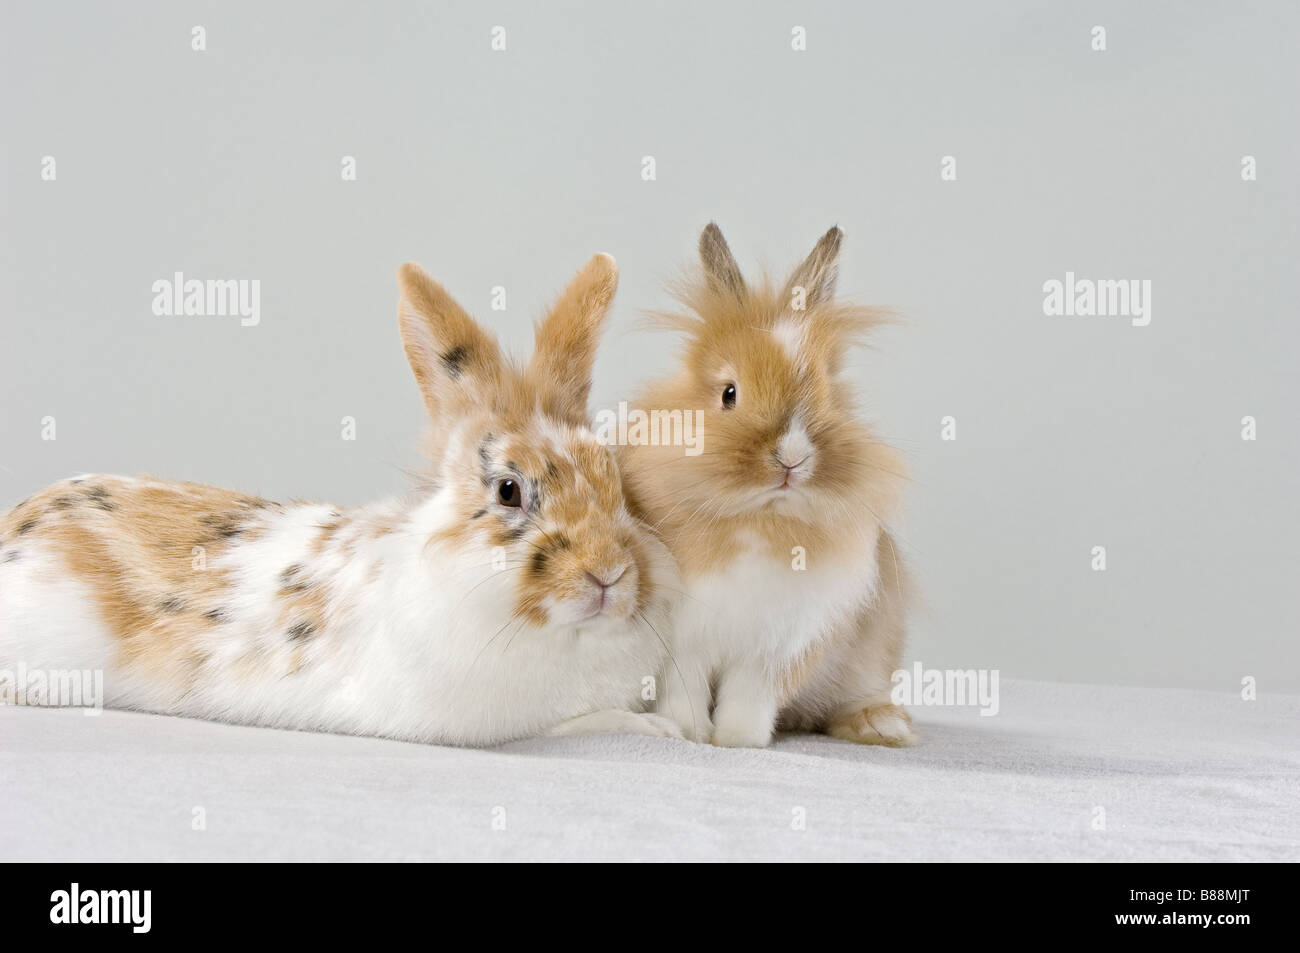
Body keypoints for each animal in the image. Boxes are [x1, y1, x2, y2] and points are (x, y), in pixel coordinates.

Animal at [0, 254, 684, 746]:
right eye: (509, 490)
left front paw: (662, 725)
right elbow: (574, 722)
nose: (608, 575)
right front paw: (657, 727)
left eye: (615, 482)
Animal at [618, 223, 915, 748]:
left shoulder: (782, 643)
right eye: (729, 393)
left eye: (829, 395)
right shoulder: (683, 640)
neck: (757, 518)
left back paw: (881, 725)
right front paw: (690, 733)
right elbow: (684, 688)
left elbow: (750, 695)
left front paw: (739, 740)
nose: (792, 458)